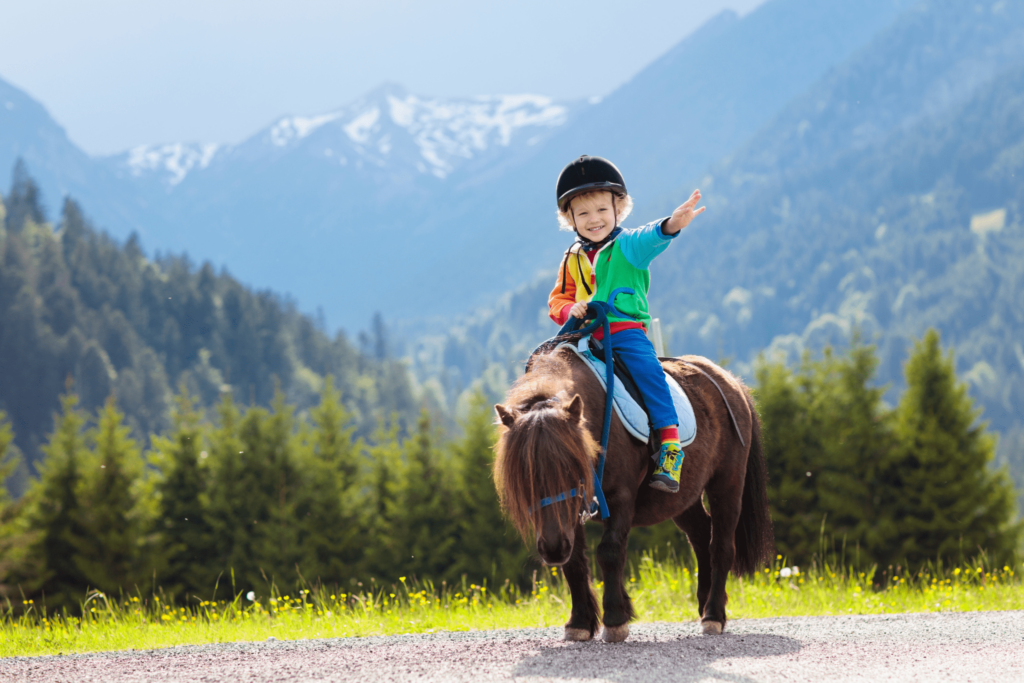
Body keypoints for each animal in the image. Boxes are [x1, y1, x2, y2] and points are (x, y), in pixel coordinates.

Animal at [493, 343, 774, 642]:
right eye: (523, 474)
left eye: (572, 468)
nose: (553, 549)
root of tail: (732, 383)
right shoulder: (569, 515)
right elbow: (575, 563)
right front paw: (580, 621)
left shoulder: (620, 498)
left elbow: (609, 552)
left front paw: (616, 618)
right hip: (683, 499)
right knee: (701, 536)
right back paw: (704, 603)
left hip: (727, 483)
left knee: (721, 545)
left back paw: (713, 615)